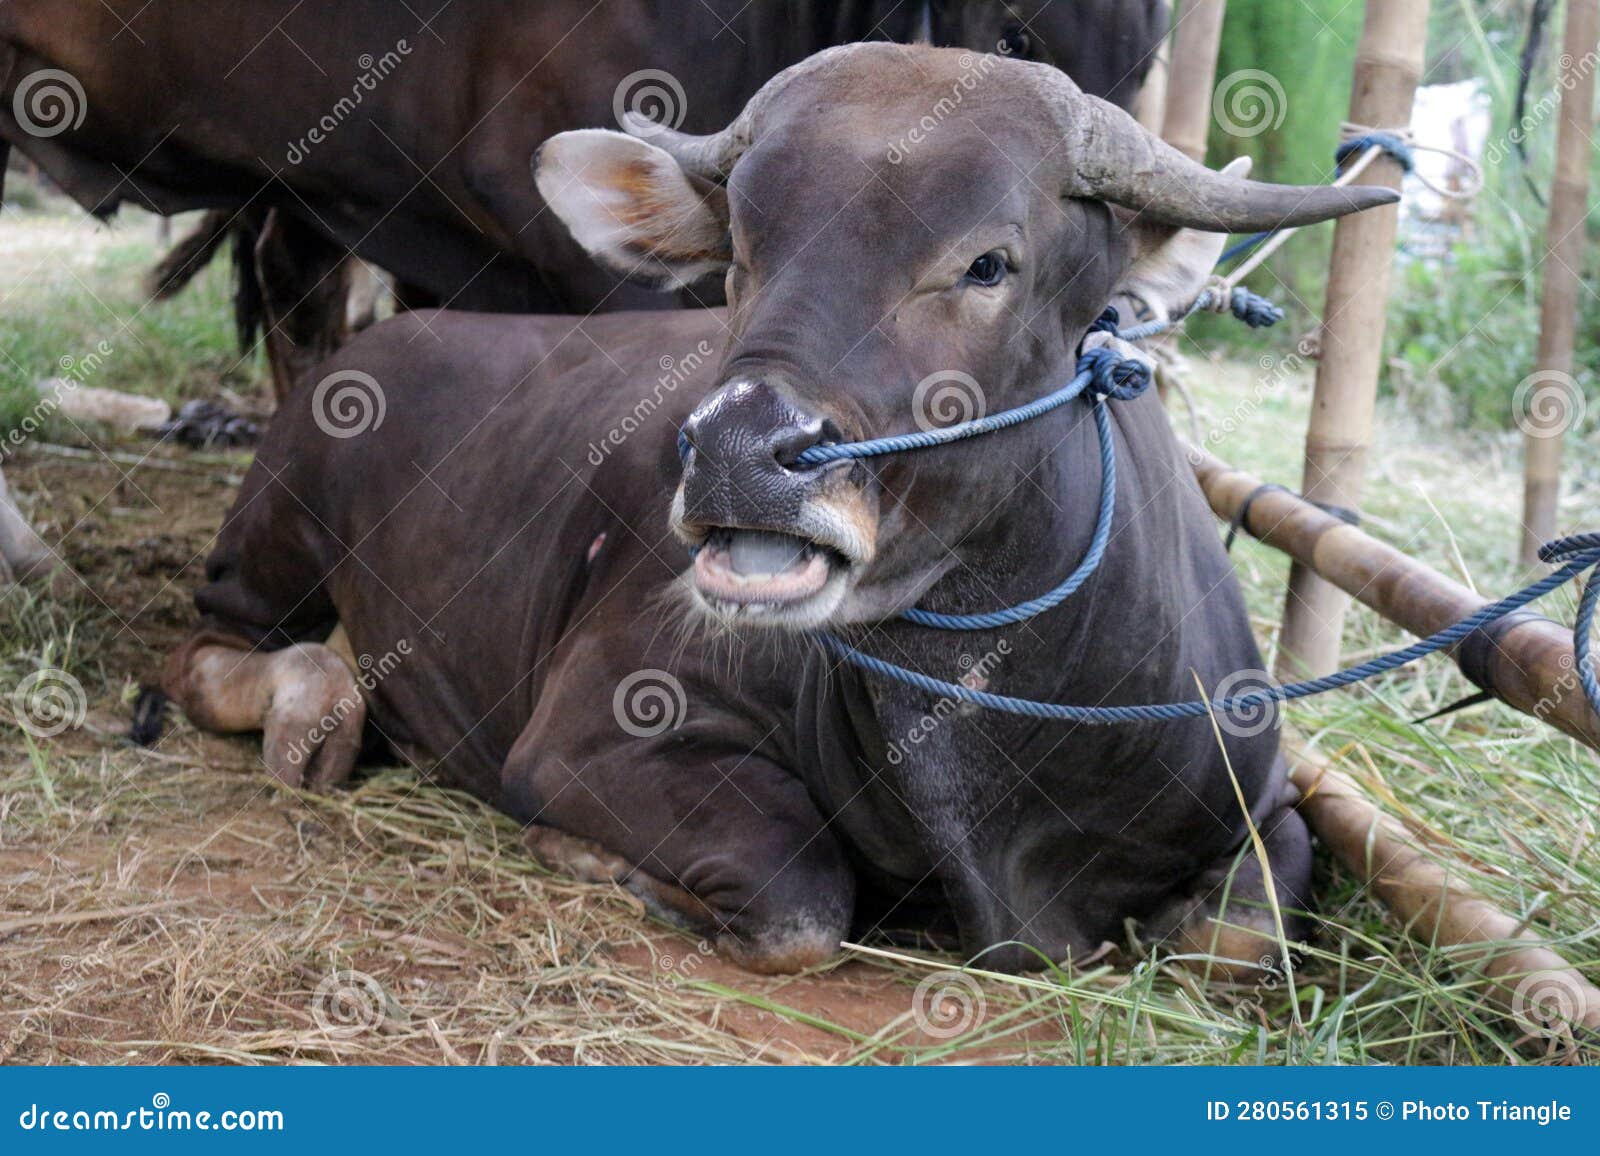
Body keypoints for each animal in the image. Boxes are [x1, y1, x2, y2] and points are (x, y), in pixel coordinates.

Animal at [159, 44, 1396, 975]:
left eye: (987, 263)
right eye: (741, 251)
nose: (737, 454)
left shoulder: (1264, 800)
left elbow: (1235, 943)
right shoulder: (591, 734)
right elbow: (802, 904)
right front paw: (599, 862)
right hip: (273, 542)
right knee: (217, 649)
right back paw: (315, 705)